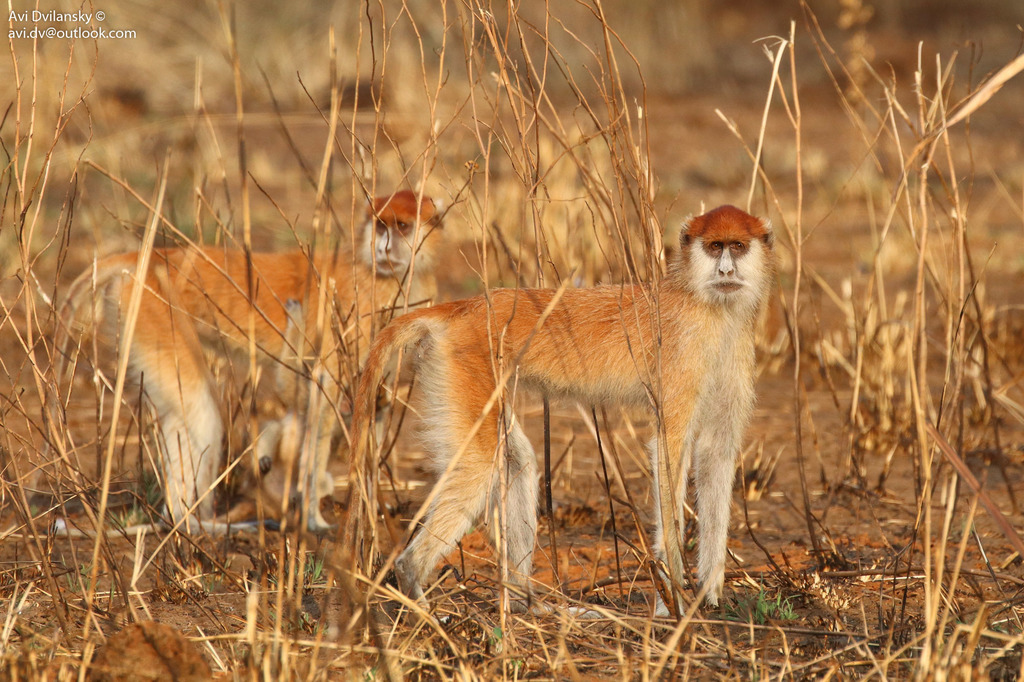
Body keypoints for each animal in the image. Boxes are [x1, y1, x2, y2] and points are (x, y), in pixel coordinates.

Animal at [48, 190, 444, 534]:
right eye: (380, 225)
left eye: (402, 226)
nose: (384, 247)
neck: (372, 270)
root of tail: (147, 259)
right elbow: (318, 394)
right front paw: (315, 518)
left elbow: (373, 402)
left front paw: (369, 505)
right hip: (154, 311)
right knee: (200, 410)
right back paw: (192, 524)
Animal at [350, 204, 774, 615]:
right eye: (714, 247)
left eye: (737, 246)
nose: (726, 271)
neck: (706, 301)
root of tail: (463, 308)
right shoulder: (683, 358)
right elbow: (670, 451)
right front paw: (673, 602)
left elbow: (716, 452)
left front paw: (711, 595)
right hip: (465, 361)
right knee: (479, 465)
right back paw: (415, 588)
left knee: (515, 461)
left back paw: (525, 604)